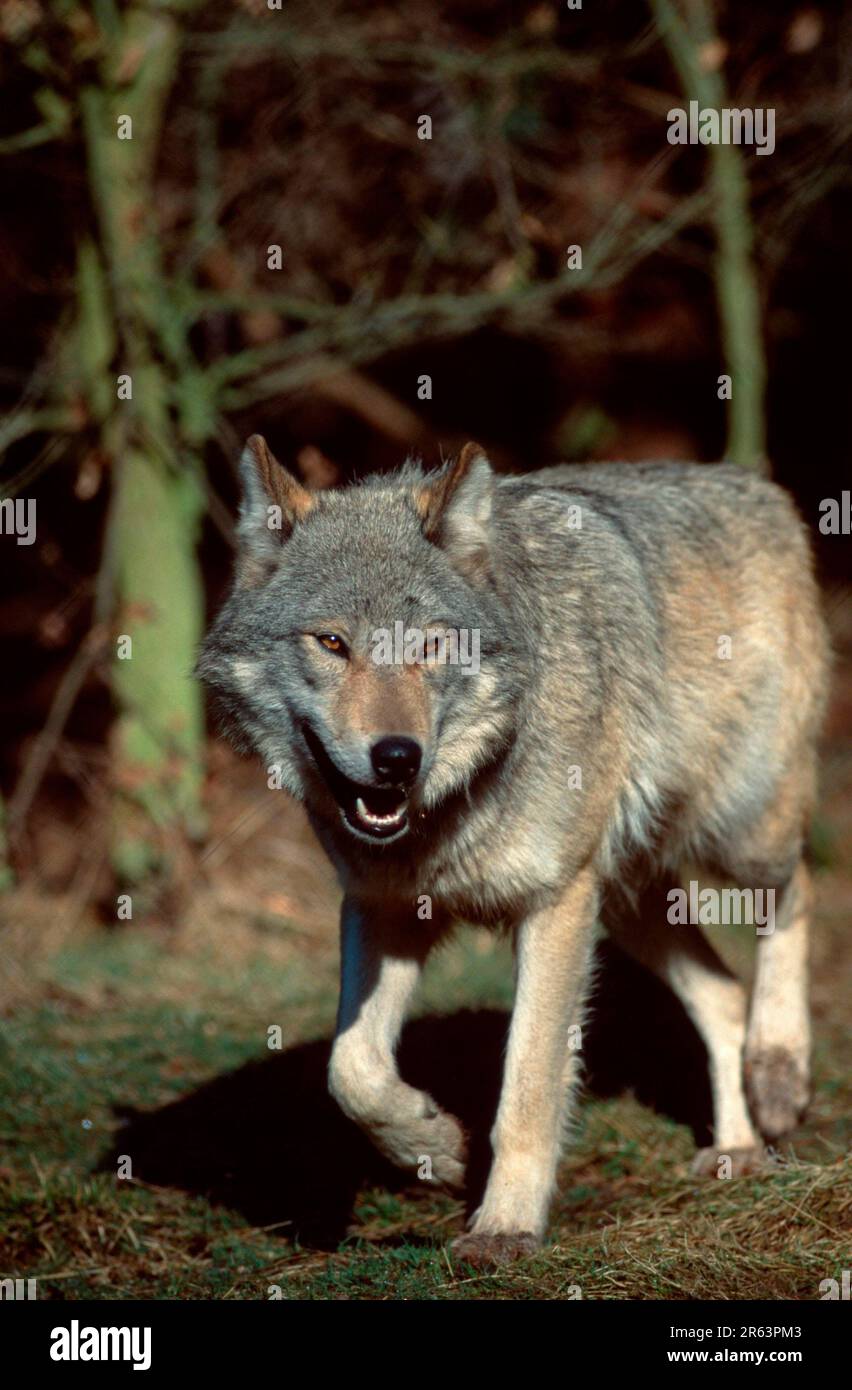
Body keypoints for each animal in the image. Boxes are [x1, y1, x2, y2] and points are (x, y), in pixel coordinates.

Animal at [197, 434, 828, 1267]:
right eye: (332, 643)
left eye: (432, 644)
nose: (396, 758)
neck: (451, 806)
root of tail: (753, 484)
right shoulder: (384, 907)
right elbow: (352, 1070)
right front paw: (433, 1144)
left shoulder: (554, 906)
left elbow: (528, 1088)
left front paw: (505, 1227)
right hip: (626, 902)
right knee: (723, 992)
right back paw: (738, 1148)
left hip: (738, 838)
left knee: (799, 892)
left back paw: (779, 1071)